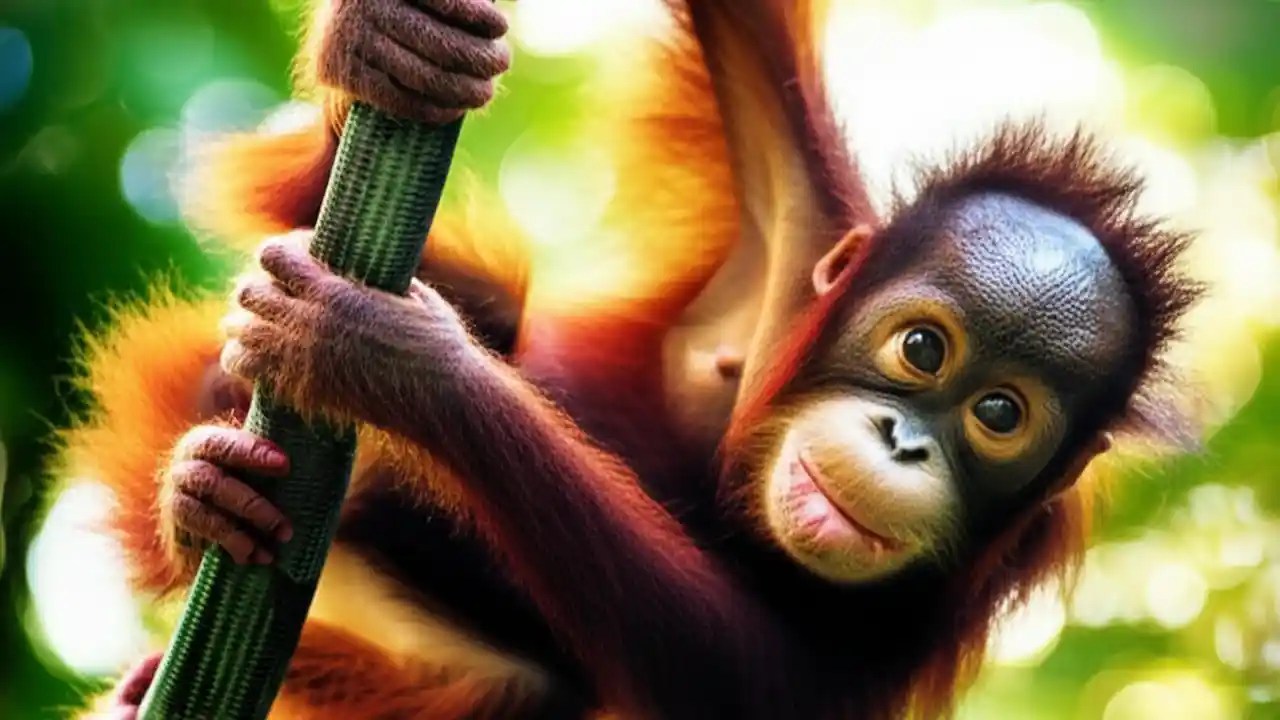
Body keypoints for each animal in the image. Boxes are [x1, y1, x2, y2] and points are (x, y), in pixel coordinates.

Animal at [64, 0, 1203, 718]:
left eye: (999, 415)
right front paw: (378, 40)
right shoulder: (799, 213)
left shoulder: (979, 576)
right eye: (922, 348)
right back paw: (200, 496)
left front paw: (401, 361)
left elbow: (746, 683)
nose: (904, 442)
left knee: (525, 692)